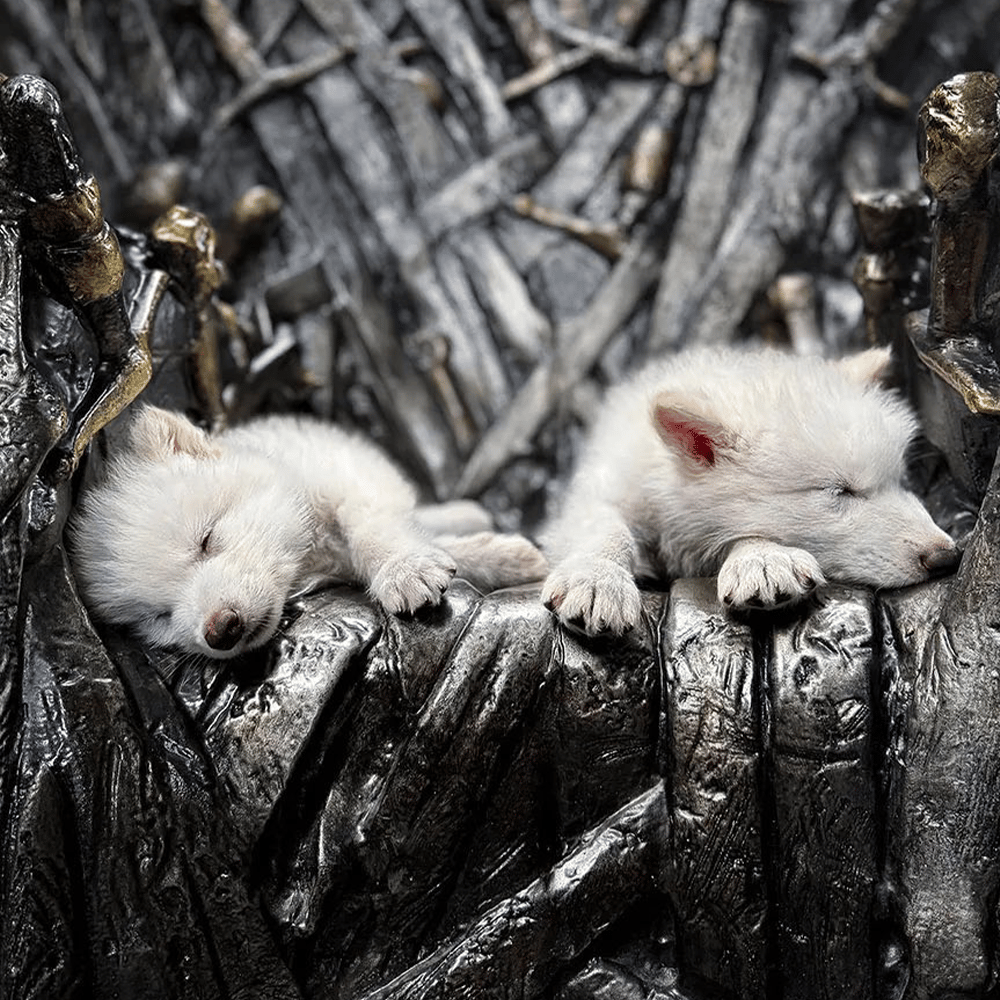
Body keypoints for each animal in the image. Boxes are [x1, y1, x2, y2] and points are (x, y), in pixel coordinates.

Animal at [70, 406, 547, 659]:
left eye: (206, 540)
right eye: (160, 616)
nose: (219, 630)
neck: (308, 555)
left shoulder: (352, 481)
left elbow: (372, 529)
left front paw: (404, 569)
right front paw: (500, 558)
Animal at [540, 345, 960, 635]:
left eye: (899, 482)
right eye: (840, 491)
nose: (948, 557)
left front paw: (762, 560)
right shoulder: (604, 488)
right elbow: (605, 527)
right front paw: (596, 579)